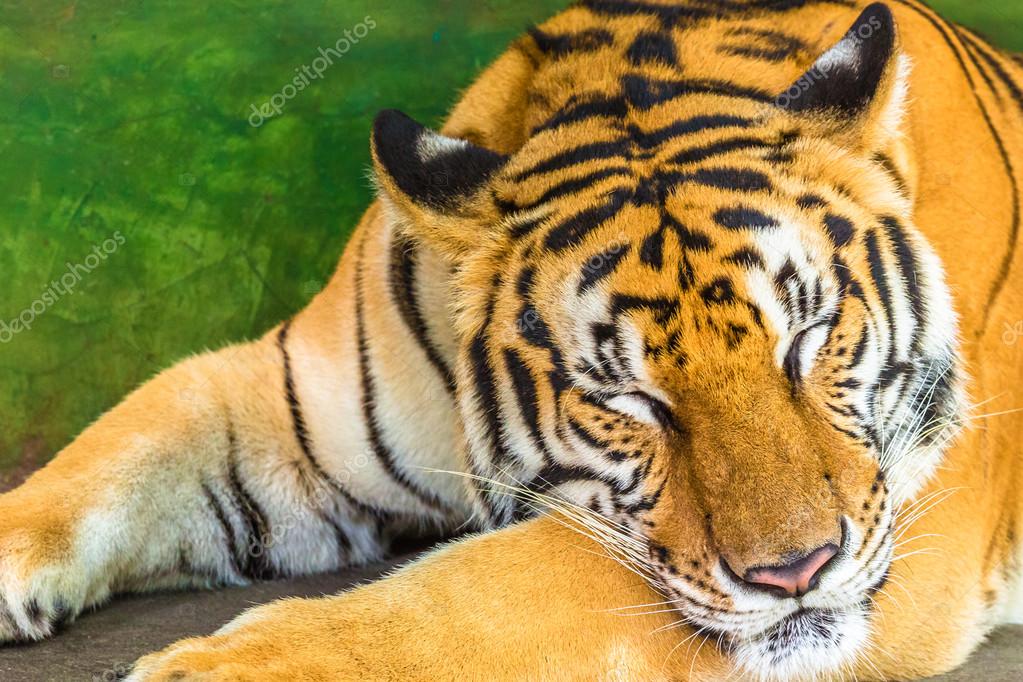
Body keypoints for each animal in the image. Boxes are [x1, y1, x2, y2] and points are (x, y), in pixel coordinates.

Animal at [2, 0, 1019, 679]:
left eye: (807, 340)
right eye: (624, 399)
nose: (796, 572)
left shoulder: (919, 518)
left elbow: (512, 586)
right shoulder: (285, 399)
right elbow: (121, 450)